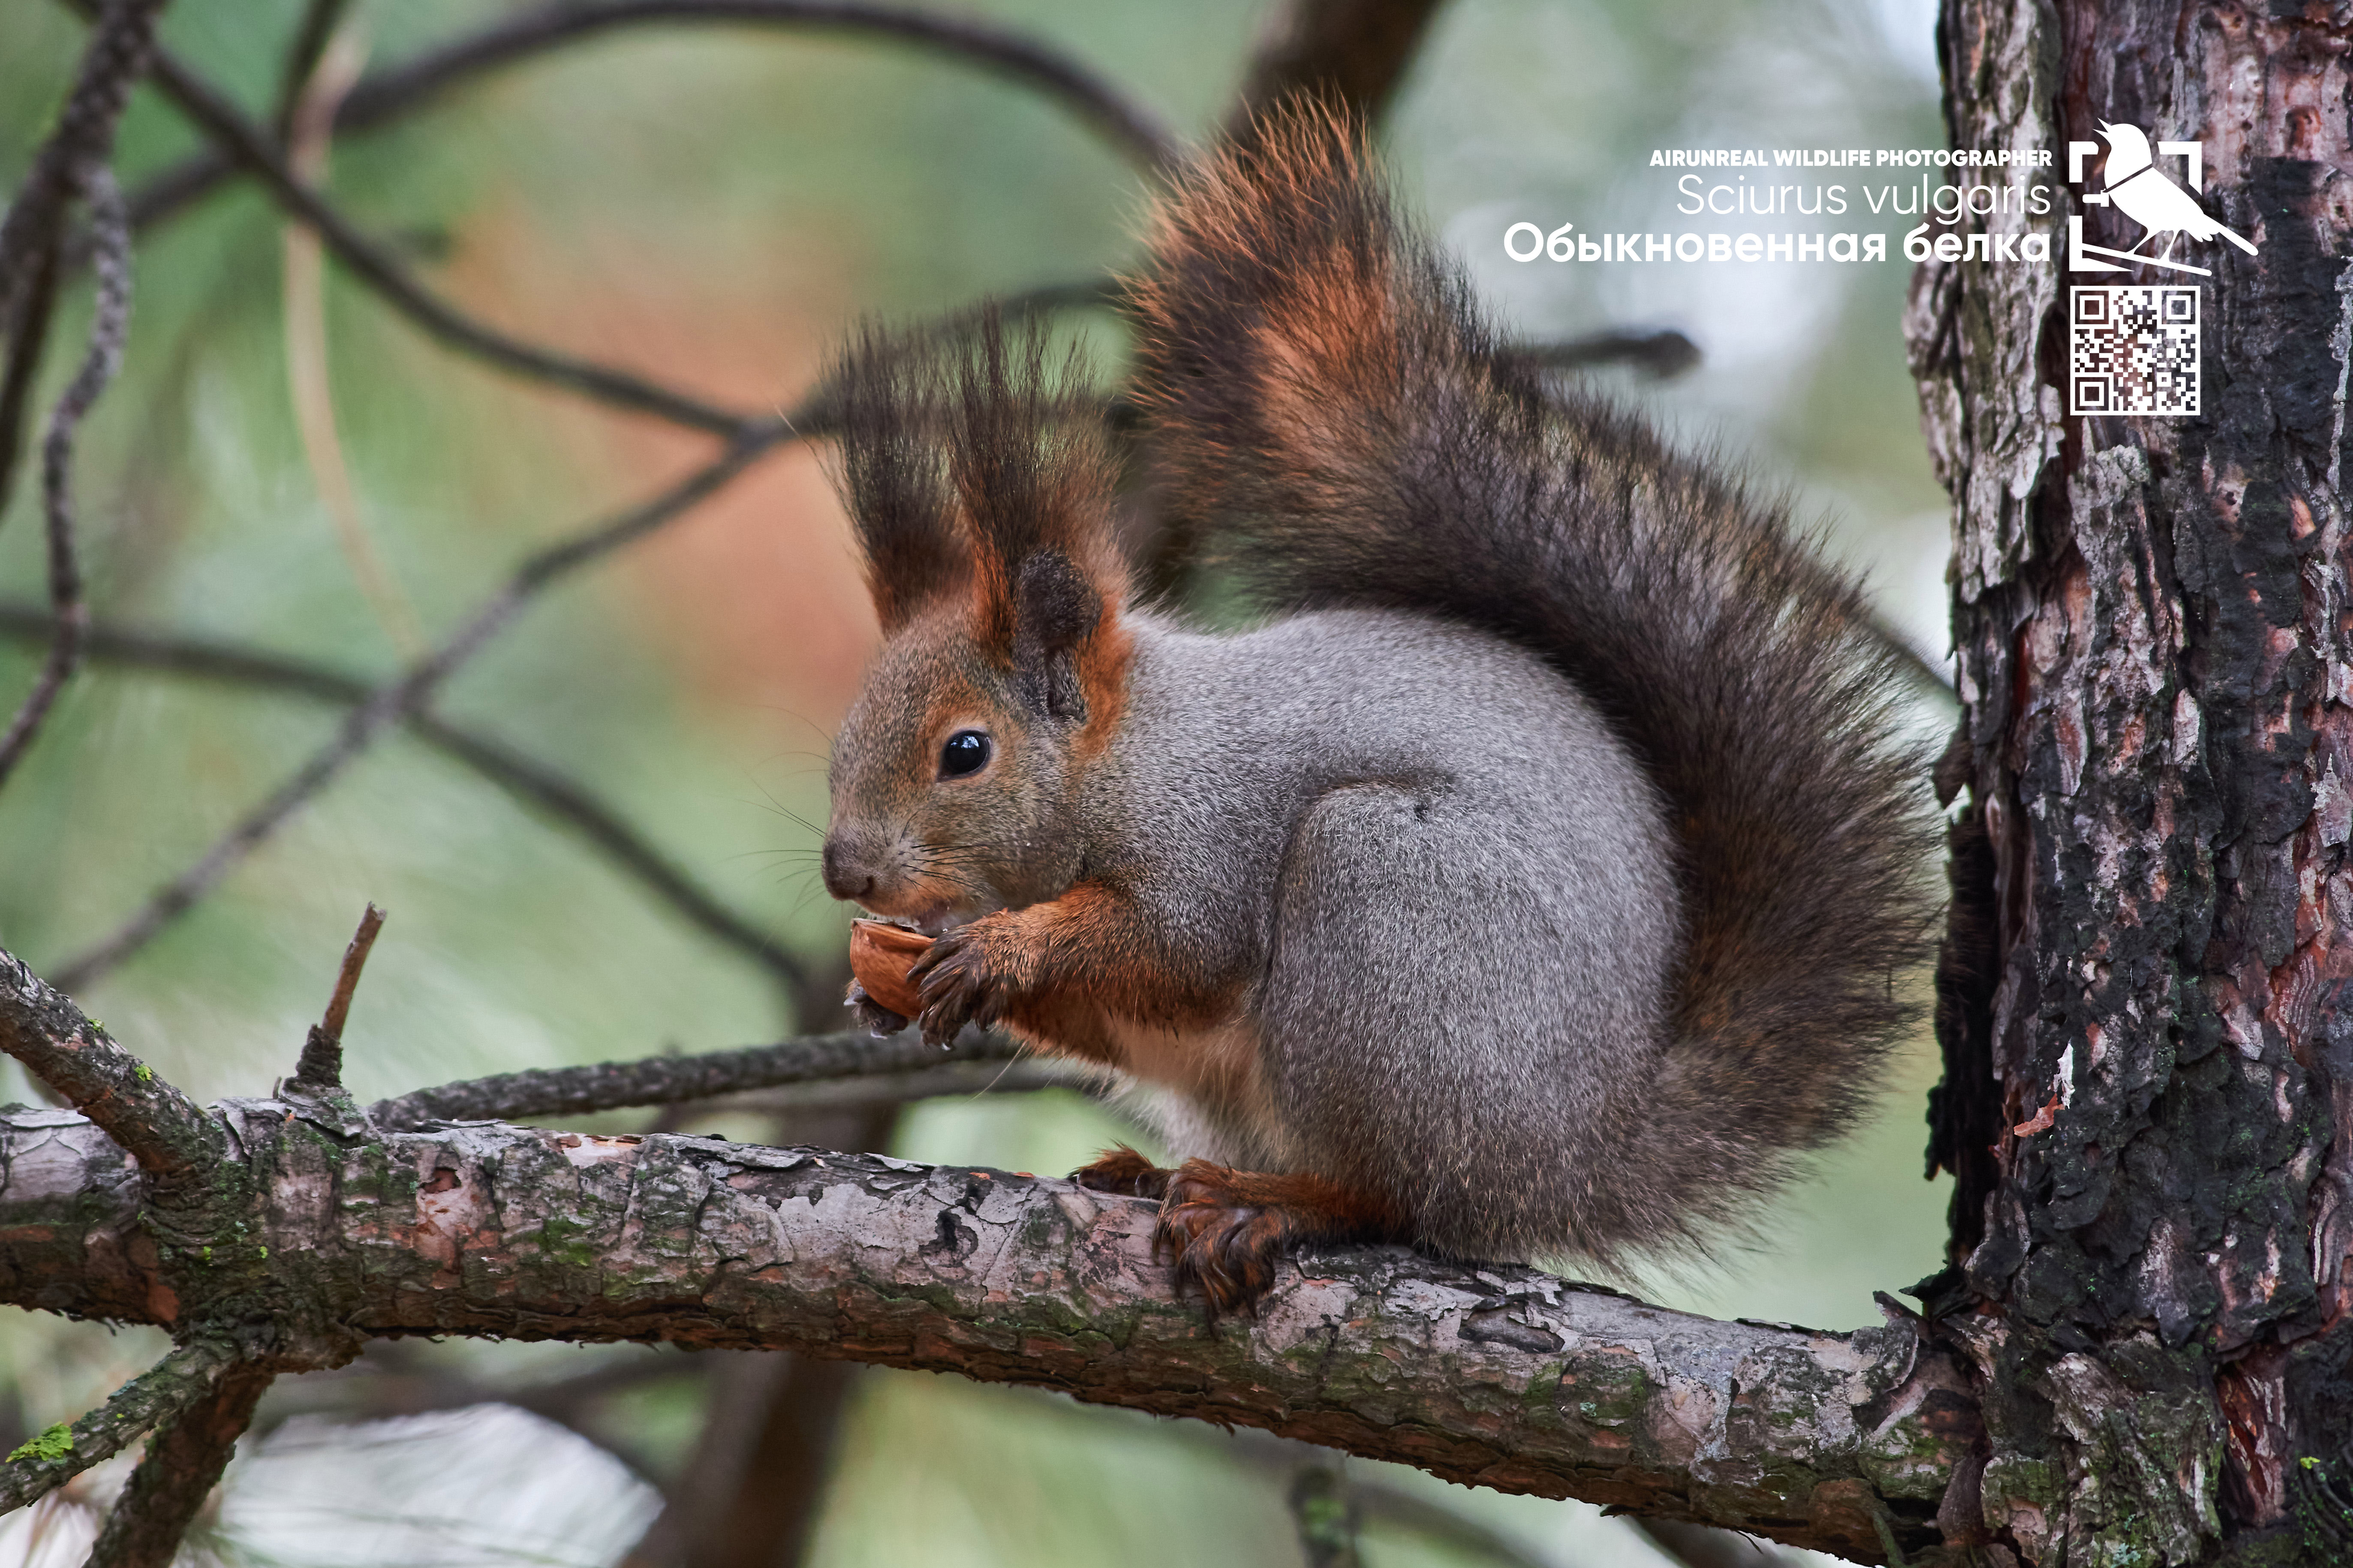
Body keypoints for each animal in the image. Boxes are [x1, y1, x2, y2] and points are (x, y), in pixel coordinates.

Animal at [818, 104, 1939, 1316]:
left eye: (965, 751)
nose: (846, 871)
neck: (1120, 753)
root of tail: (1576, 1154)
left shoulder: (1207, 826)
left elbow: (1179, 943)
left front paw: (1000, 948)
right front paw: (888, 983)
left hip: (1387, 916)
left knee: (1398, 1193)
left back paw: (1273, 1200)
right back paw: (1154, 1173)